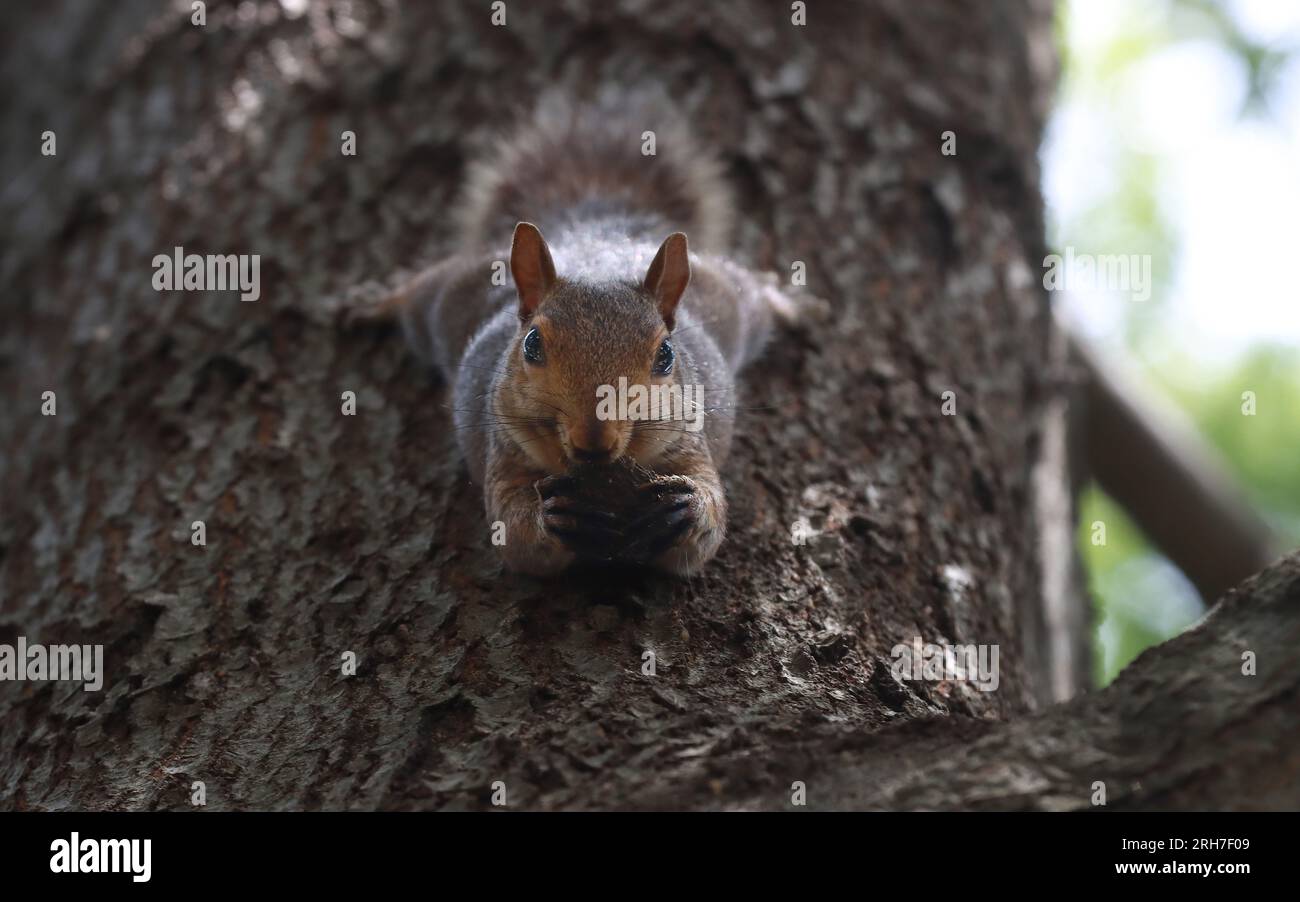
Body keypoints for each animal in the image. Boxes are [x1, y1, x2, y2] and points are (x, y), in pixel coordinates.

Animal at [363, 93, 799, 577]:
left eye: (666, 356)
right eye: (532, 344)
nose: (594, 438)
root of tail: (596, 231)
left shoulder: (690, 444)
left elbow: (708, 526)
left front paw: (689, 511)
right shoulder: (504, 455)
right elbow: (511, 532)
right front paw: (547, 521)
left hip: (729, 298)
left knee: (753, 295)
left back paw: (785, 298)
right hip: (449, 297)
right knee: (421, 292)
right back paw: (377, 300)